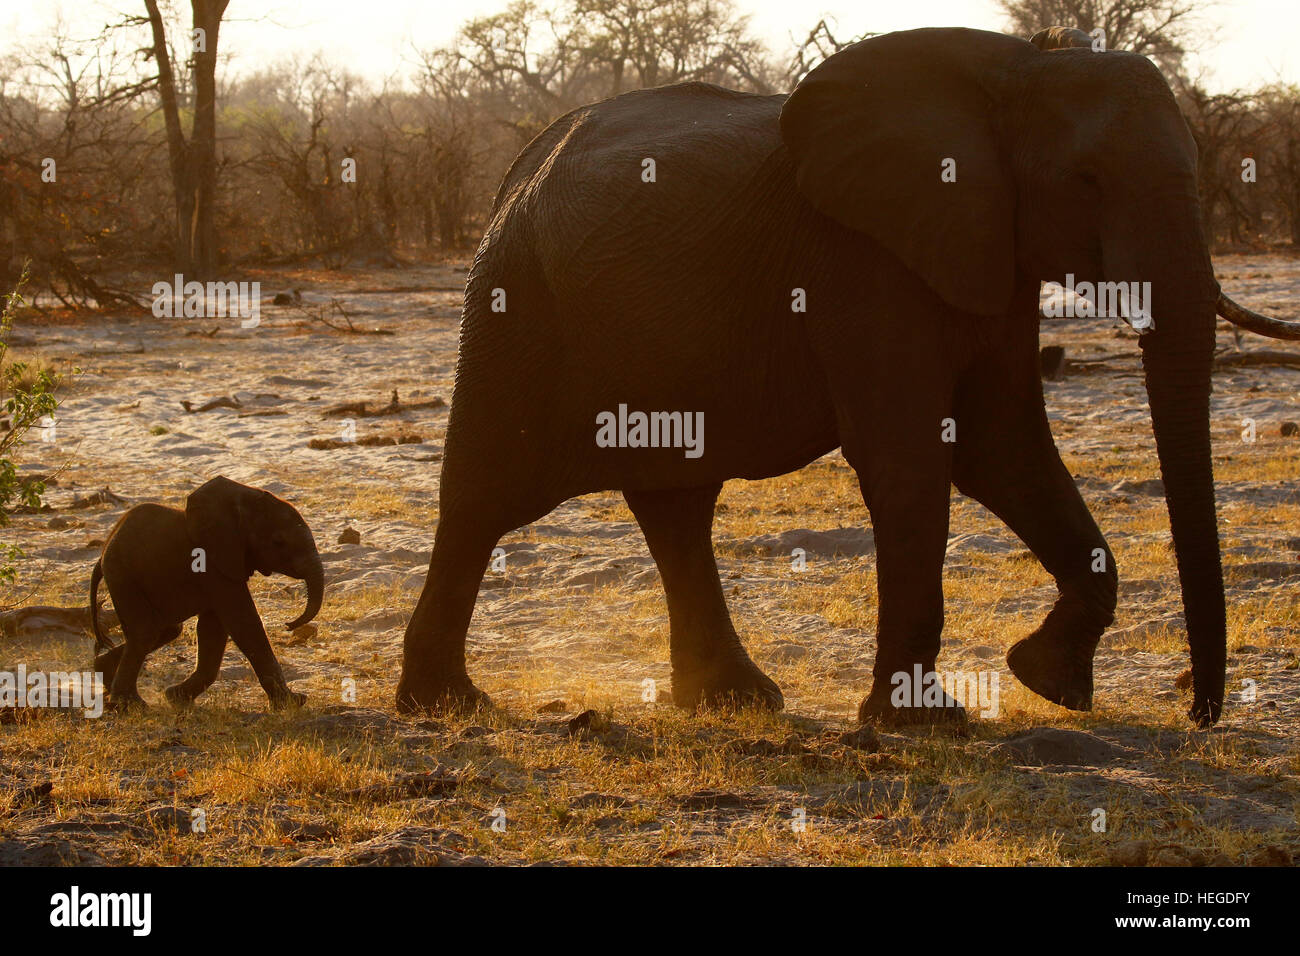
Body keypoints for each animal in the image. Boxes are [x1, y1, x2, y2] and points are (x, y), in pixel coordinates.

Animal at [90, 475, 324, 709]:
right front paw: (293, 702)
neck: (243, 498)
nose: (288, 625)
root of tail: (102, 554)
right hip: (122, 576)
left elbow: (214, 628)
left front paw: (176, 698)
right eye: (278, 542)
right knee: (146, 632)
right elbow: (243, 622)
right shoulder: (212, 562)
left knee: (166, 630)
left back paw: (105, 677)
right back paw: (129, 705)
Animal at [395, 26, 1300, 727]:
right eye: (1088, 183)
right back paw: (448, 706)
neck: (1015, 68)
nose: (1196, 709)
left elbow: (1003, 449)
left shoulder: (988, 252)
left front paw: (1049, 683)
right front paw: (926, 725)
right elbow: (912, 459)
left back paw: (734, 701)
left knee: (676, 503)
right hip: (516, 303)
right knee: (485, 495)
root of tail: (517, 168)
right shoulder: (862, 262)